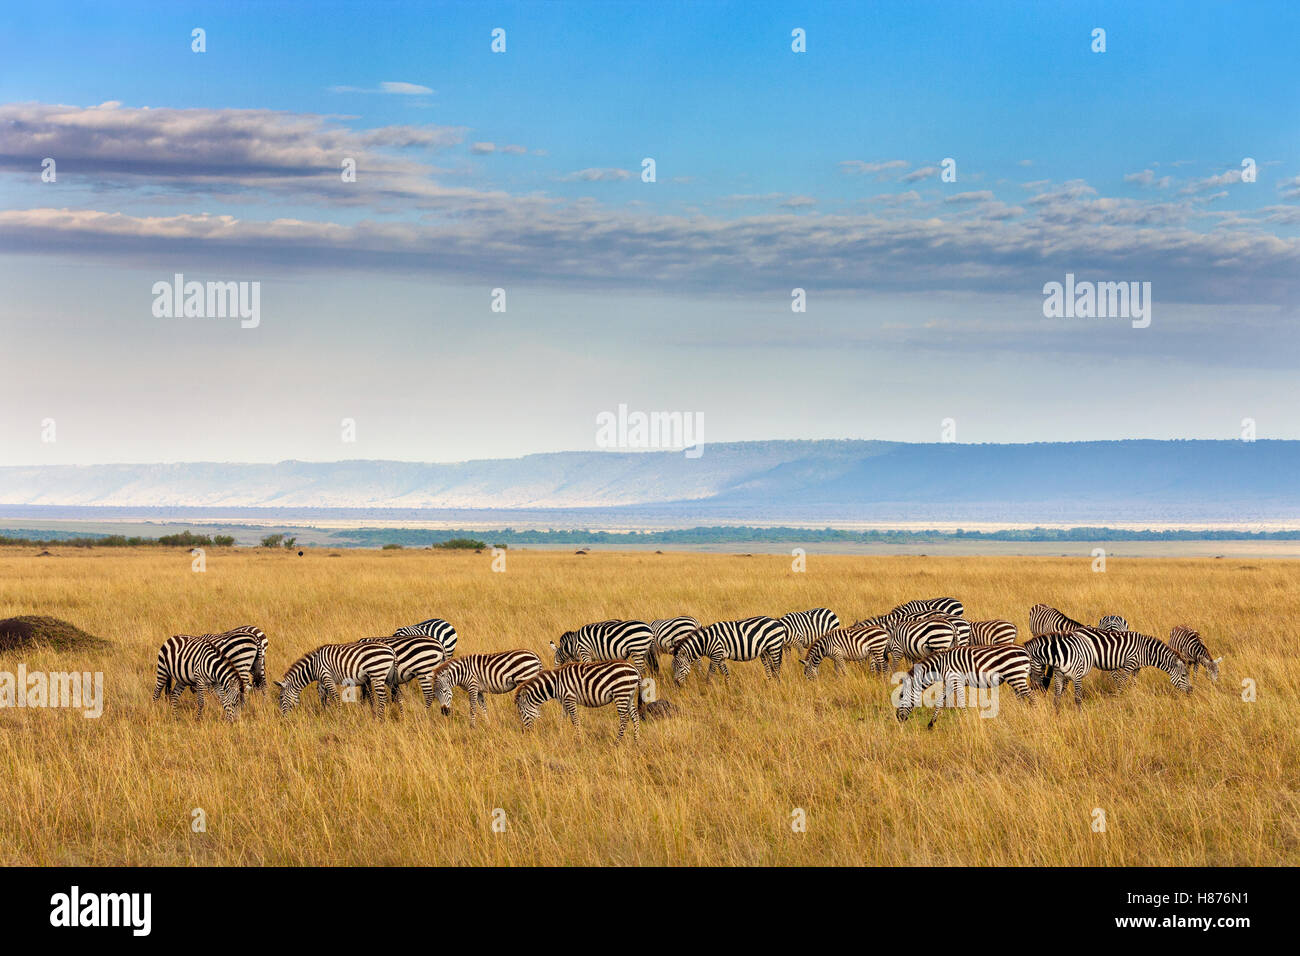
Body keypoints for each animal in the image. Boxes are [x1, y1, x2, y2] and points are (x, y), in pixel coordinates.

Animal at [894, 644, 1034, 728]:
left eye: (901, 696)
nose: (898, 719)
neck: (940, 667)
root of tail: (1025, 651)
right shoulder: (949, 683)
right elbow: (939, 702)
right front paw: (931, 723)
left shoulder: (956, 681)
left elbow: (961, 703)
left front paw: (966, 722)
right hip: (1015, 677)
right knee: (1022, 696)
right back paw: (1022, 714)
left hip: (1015, 675)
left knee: (1031, 694)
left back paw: (1034, 713)